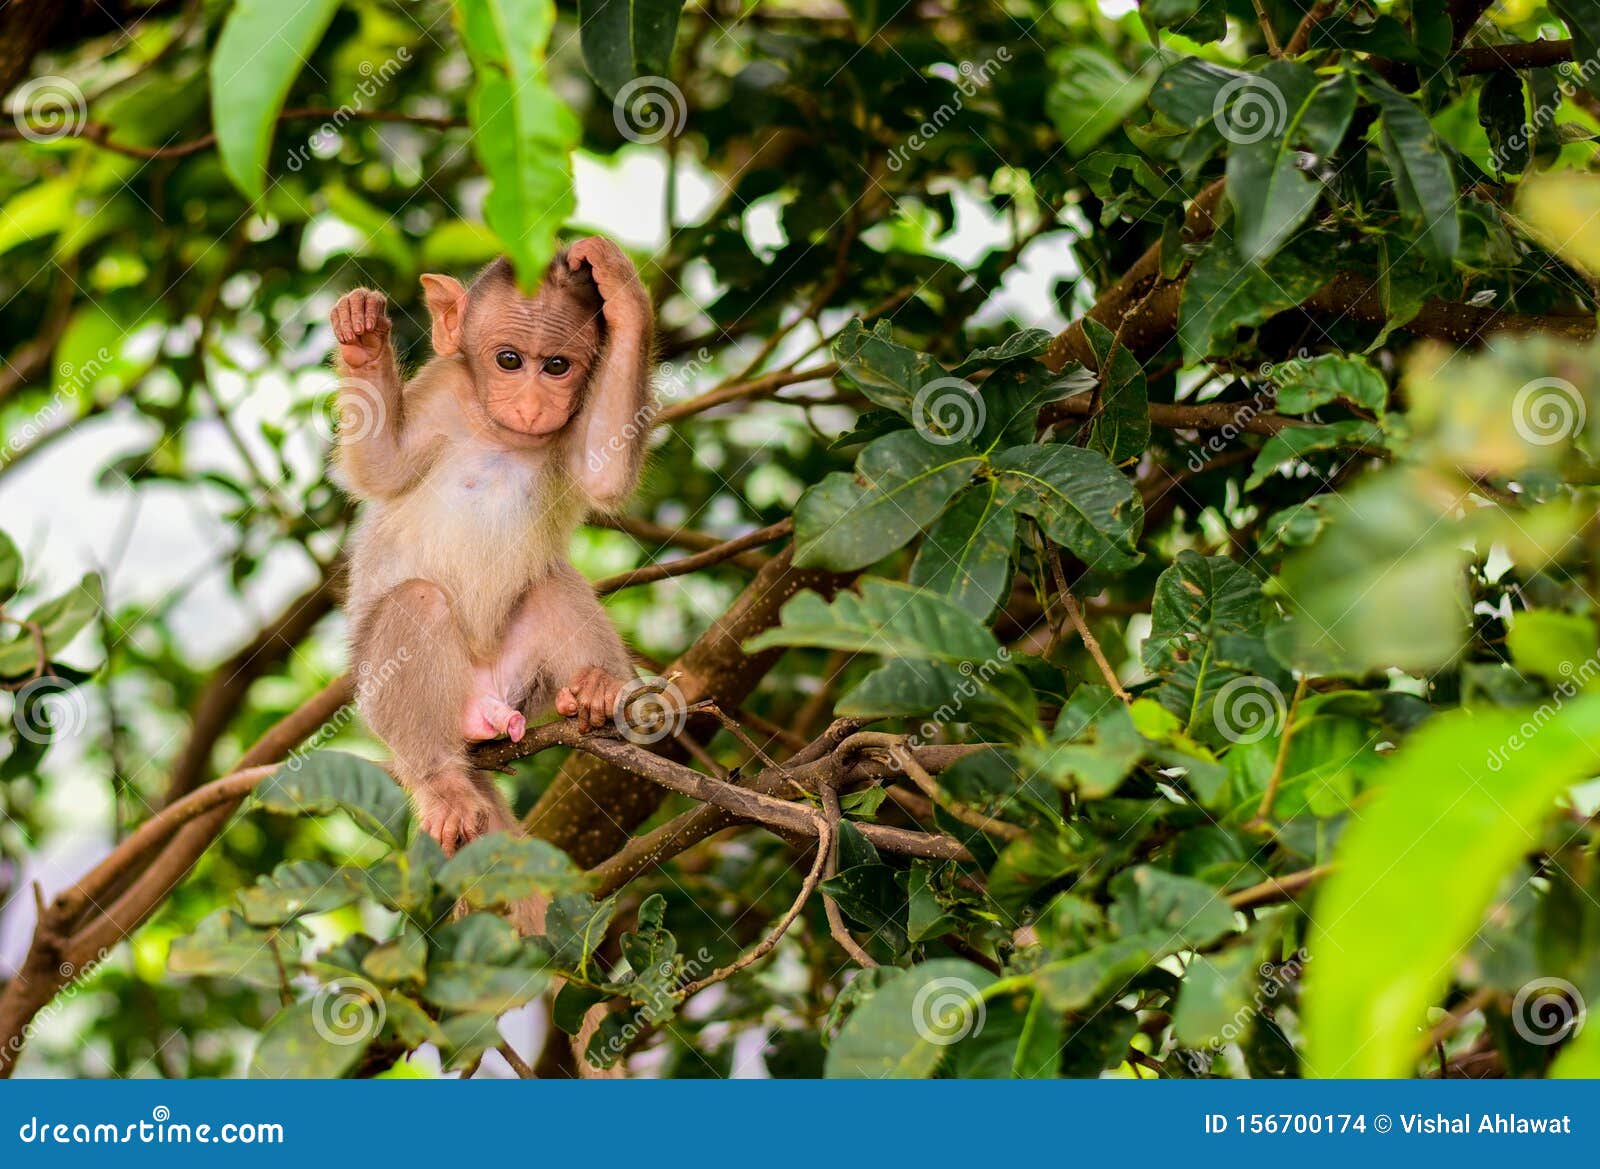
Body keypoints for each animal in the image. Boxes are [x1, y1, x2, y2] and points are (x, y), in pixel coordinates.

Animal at [328, 236, 654, 857]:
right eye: (508, 360)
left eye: (557, 366)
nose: (530, 406)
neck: (498, 433)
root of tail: (486, 703)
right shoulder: (441, 392)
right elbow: (381, 467)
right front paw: (363, 341)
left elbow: (601, 471)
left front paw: (621, 287)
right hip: (379, 696)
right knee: (416, 604)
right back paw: (442, 781)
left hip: (525, 683)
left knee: (550, 582)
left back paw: (596, 686)